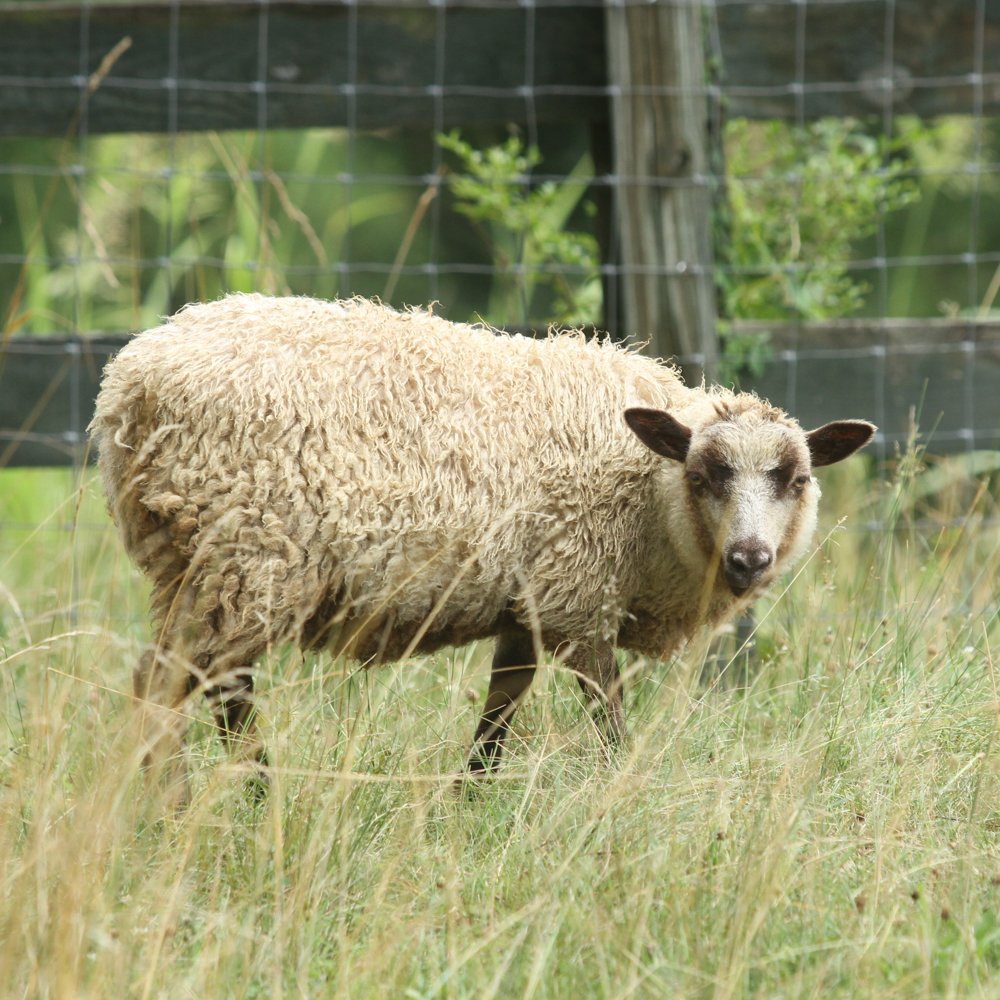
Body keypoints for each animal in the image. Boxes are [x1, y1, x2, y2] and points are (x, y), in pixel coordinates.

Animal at [90, 293, 875, 791]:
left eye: (796, 479)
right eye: (705, 475)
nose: (750, 558)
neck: (647, 500)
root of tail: (127, 387)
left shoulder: (529, 603)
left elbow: (500, 711)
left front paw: (467, 800)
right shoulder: (579, 598)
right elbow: (608, 719)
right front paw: (618, 796)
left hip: (203, 565)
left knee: (218, 689)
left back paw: (251, 796)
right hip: (247, 555)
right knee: (164, 686)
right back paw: (181, 809)